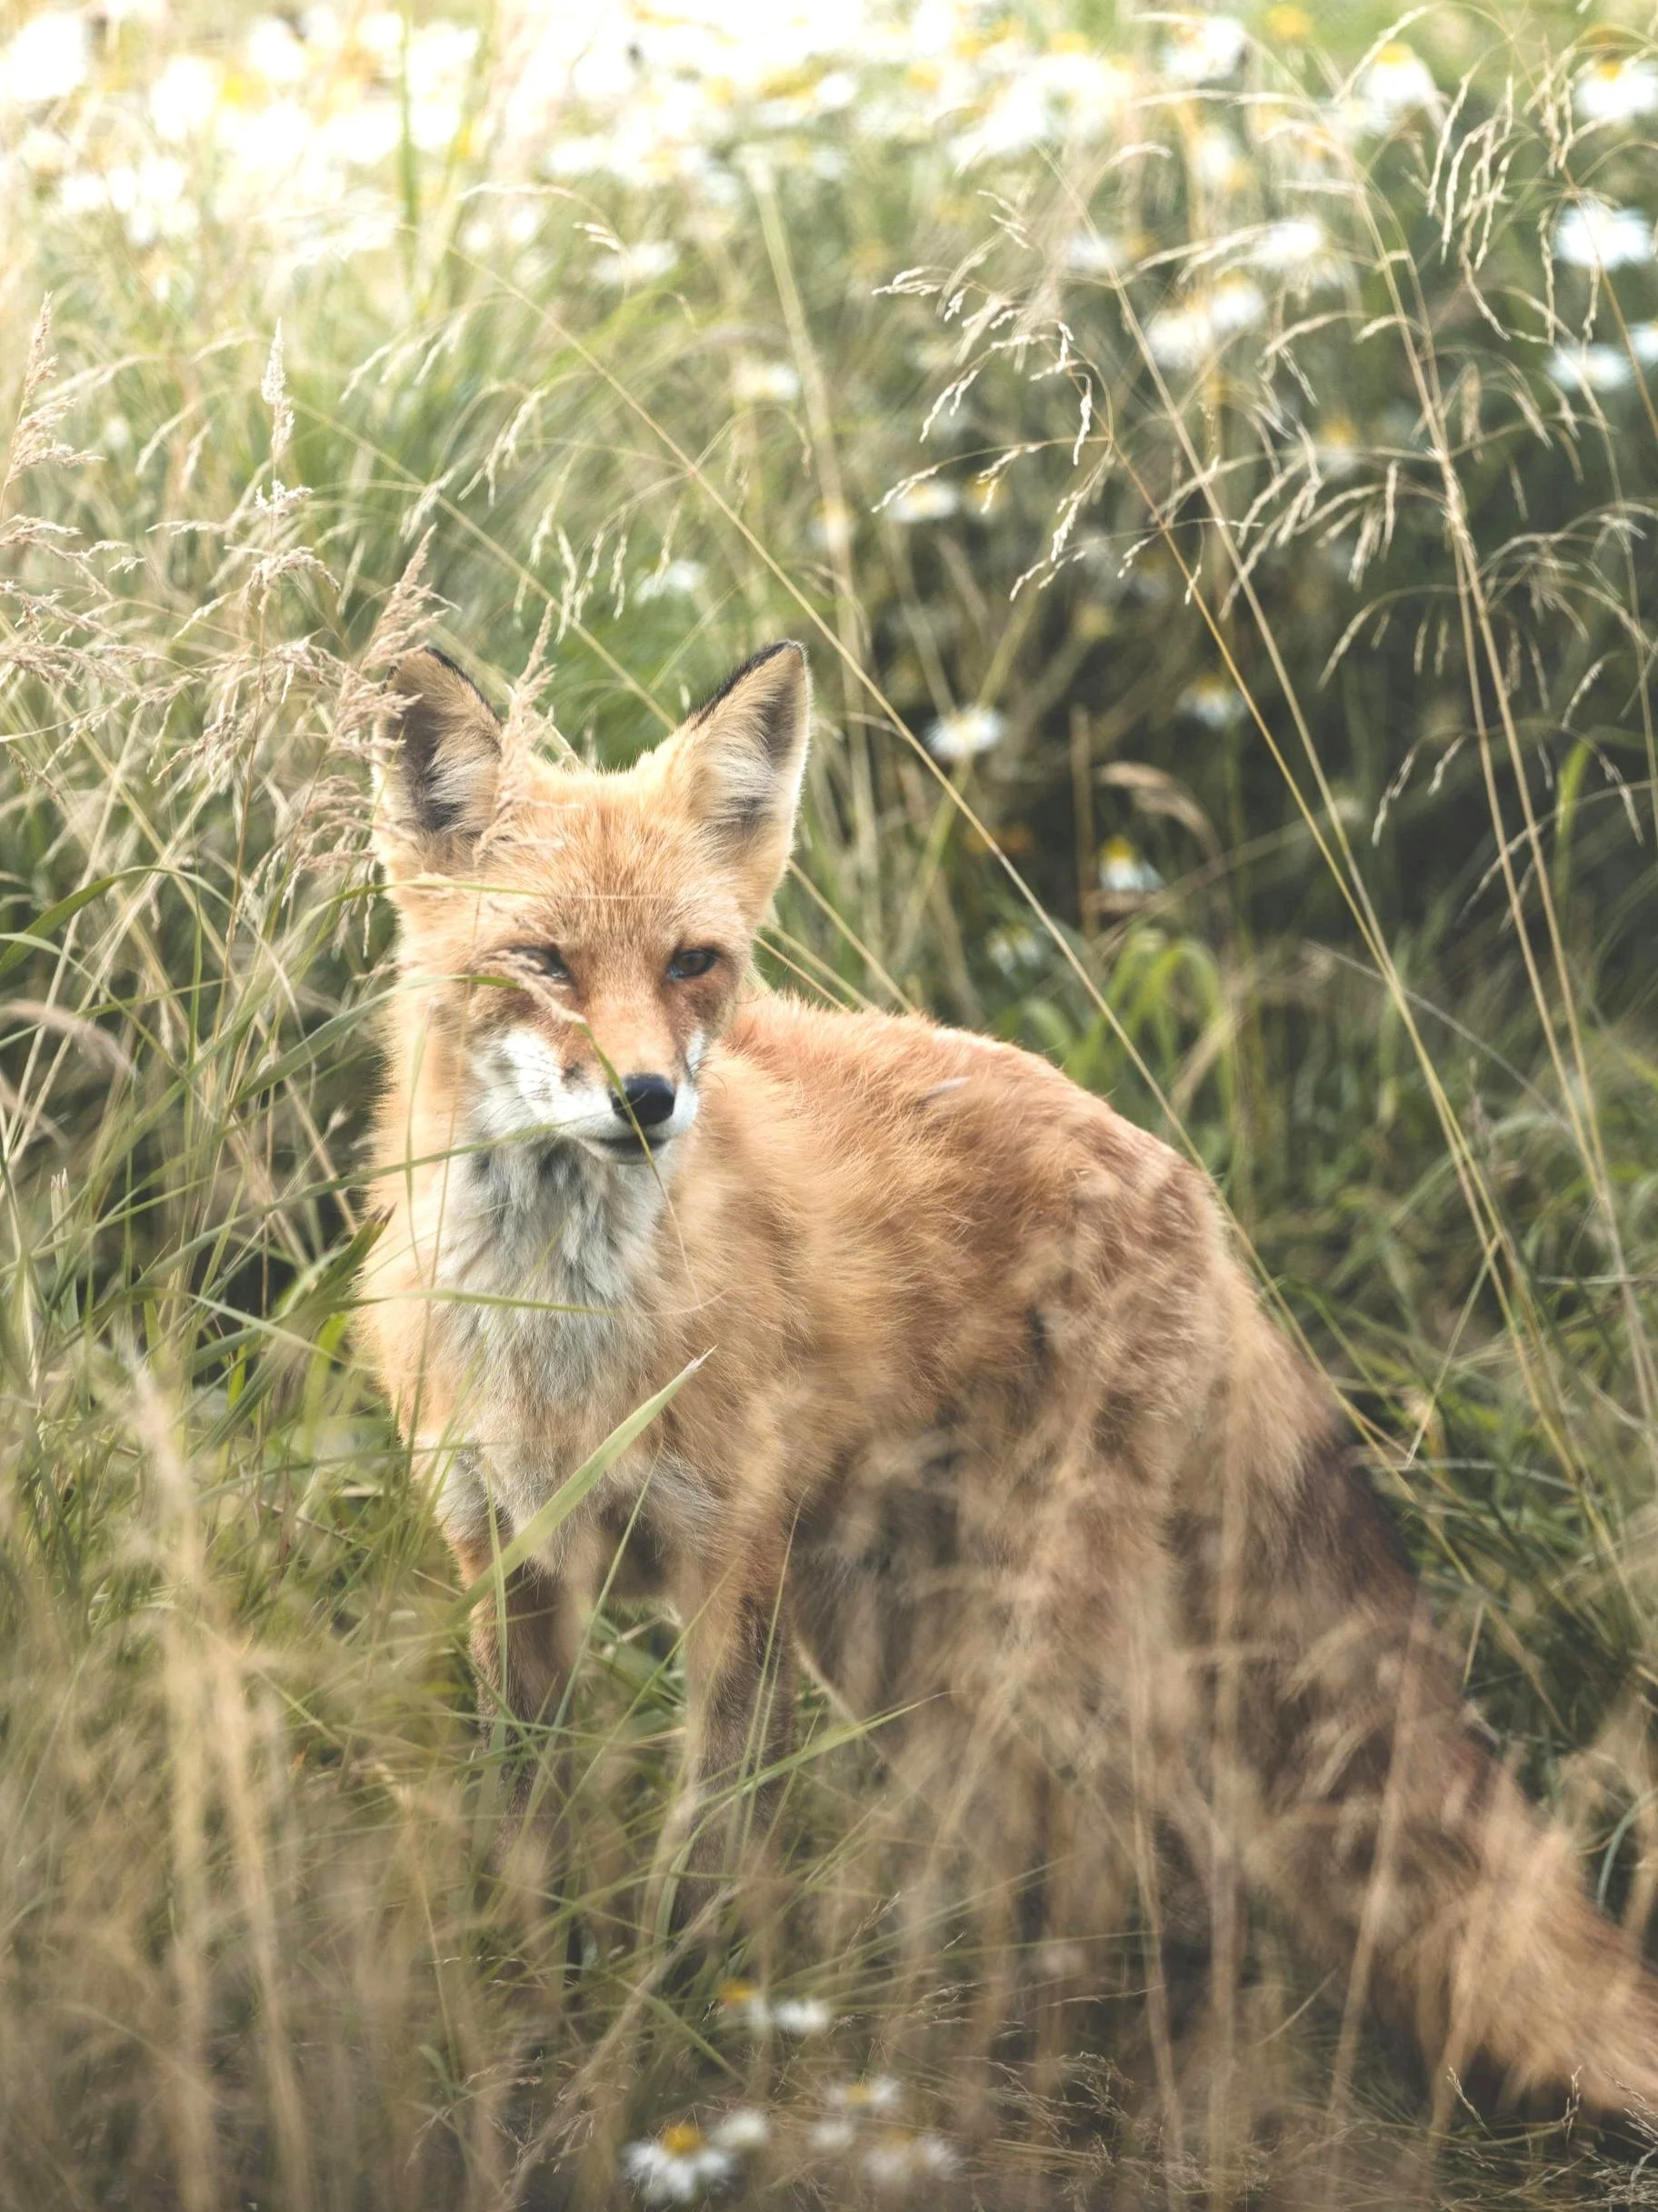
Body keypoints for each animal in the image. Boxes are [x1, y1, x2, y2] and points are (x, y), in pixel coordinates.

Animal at [361, 634, 1658, 2122]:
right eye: (543, 960)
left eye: (693, 962)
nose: (647, 1101)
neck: (564, 1333)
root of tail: (1184, 1181)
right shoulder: (507, 1557)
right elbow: (526, 1835)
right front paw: (534, 2026)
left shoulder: (730, 1568)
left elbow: (706, 1852)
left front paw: (670, 2051)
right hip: (899, 1646)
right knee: (1037, 1853)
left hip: (1040, 1637)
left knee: (1189, 1856)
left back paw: (1133, 2090)